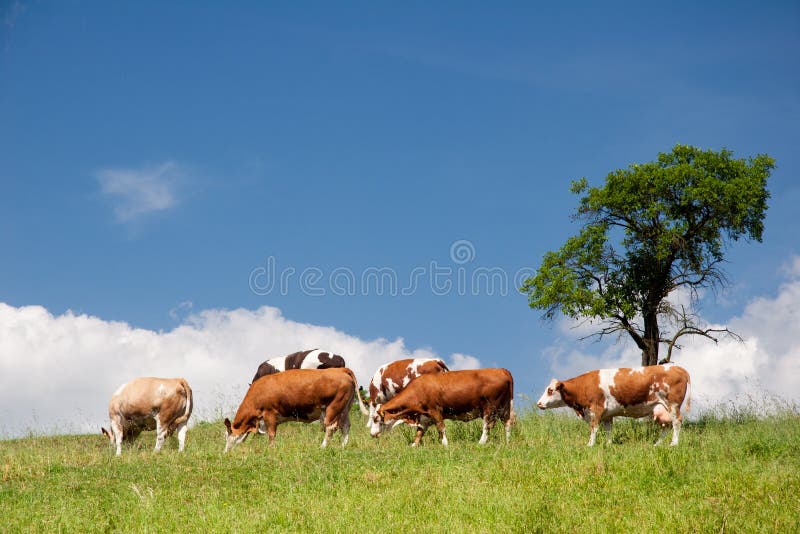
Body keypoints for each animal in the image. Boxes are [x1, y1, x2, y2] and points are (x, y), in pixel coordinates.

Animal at [224, 368, 368, 451]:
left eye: (227, 435)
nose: (225, 452)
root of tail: (341, 369)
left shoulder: (269, 413)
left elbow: (271, 435)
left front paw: (270, 450)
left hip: (334, 407)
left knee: (331, 427)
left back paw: (322, 447)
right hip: (345, 408)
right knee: (346, 426)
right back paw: (343, 446)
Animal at [373, 369, 515, 447]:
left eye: (376, 419)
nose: (372, 434)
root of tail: (501, 369)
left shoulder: (435, 411)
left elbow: (441, 428)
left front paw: (445, 444)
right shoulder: (424, 416)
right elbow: (419, 432)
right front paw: (413, 446)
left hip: (490, 408)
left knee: (488, 426)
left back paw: (481, 443)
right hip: (504, 407)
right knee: (507, 423)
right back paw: (508, 442)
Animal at [536, 363, 691, 446]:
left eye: (550, 390)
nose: (538, 403)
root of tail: (676, 367)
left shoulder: (596, 409)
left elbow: (594, 428)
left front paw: (590, 444)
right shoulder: (607, 415)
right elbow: (609, 429)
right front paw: (608, 444)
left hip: (672, 404)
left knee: (677, 422)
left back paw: (674, 444)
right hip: (661, 409)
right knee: (667, 425)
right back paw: (657, 444)